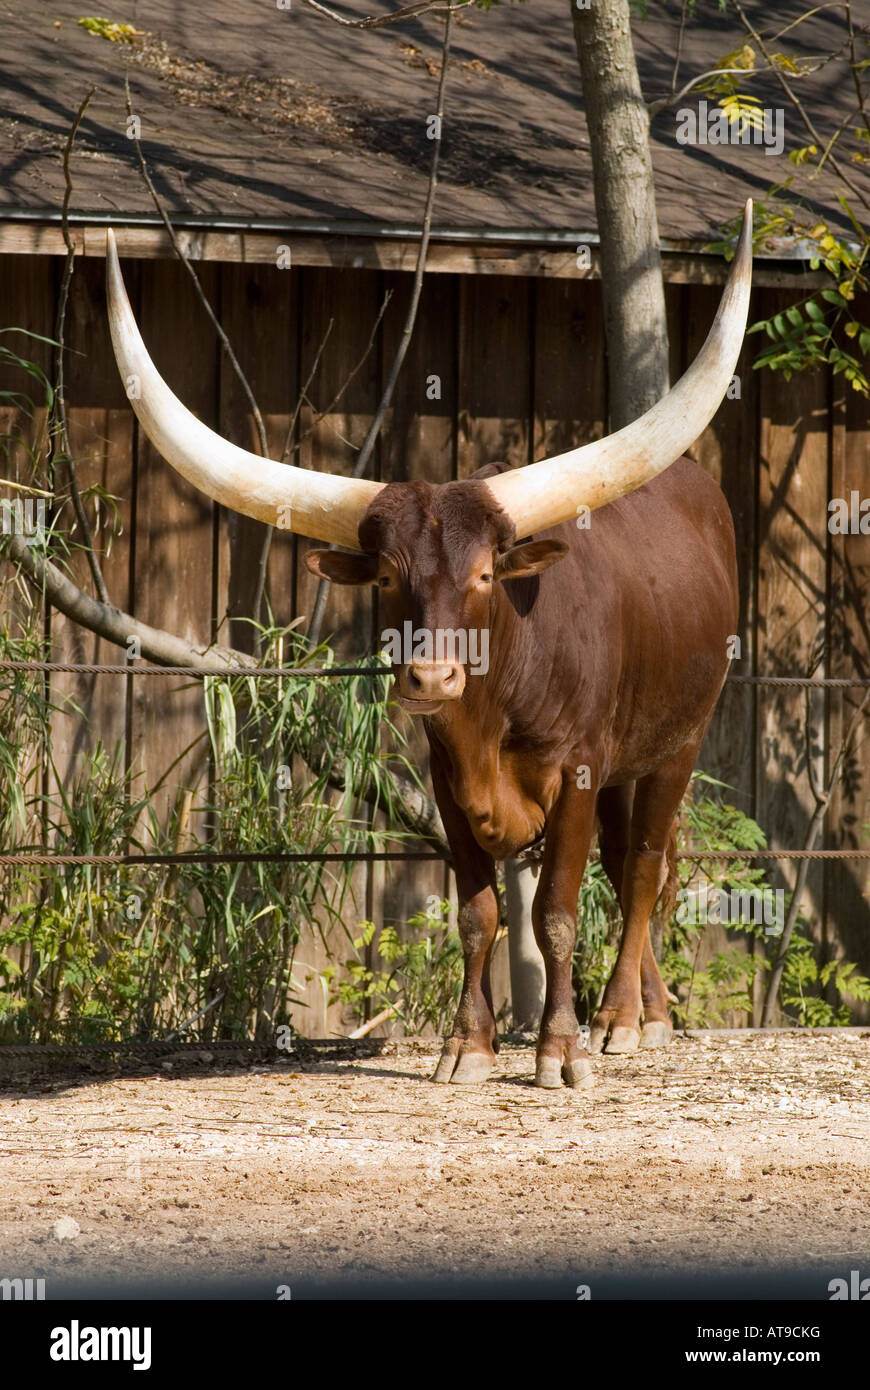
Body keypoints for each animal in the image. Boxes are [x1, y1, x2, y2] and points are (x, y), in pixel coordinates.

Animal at [105, 201, 752, 1090]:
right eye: (385, 575)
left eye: (484, 574)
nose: (431, 678)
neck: (494, 705)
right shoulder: (447, 779)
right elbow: (479, 912)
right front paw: (468, 1046)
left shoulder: (579, 771)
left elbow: (555, 911)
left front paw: (559, 1051)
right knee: (630, 865)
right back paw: (648, 1011)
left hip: (678, 741)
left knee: (646, 867)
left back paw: (622, 1018)